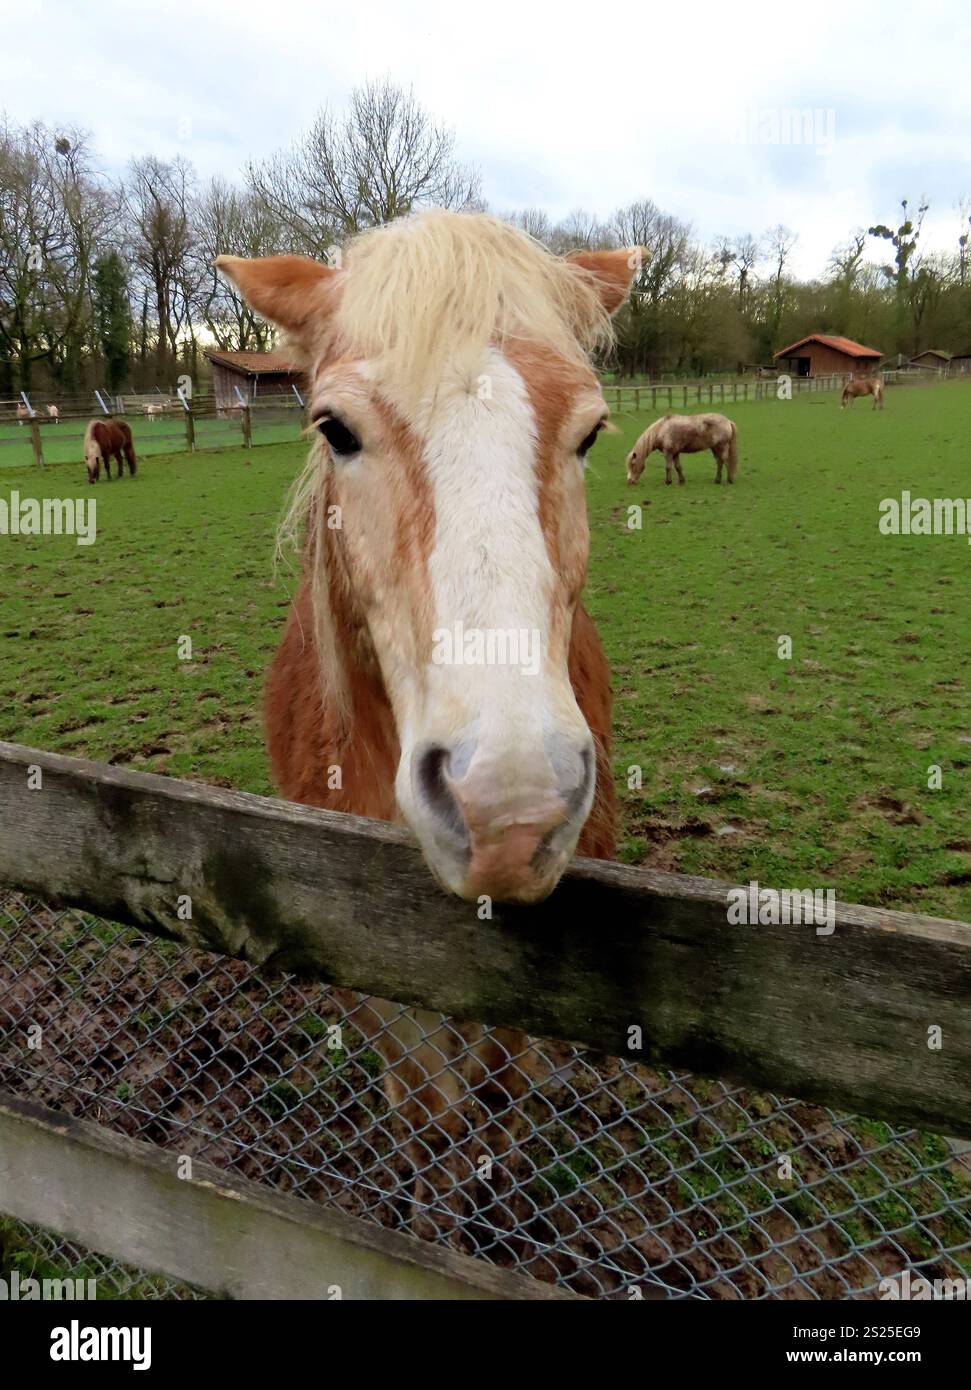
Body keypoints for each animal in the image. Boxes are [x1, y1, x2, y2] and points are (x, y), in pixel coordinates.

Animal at [217, 212, 640, 1240]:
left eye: (591, 432)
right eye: (334, 428)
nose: (510, 802)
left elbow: (493, 1098)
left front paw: (491, 1212)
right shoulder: (356, 955)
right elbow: (426, 1109)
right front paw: (426, 1209)